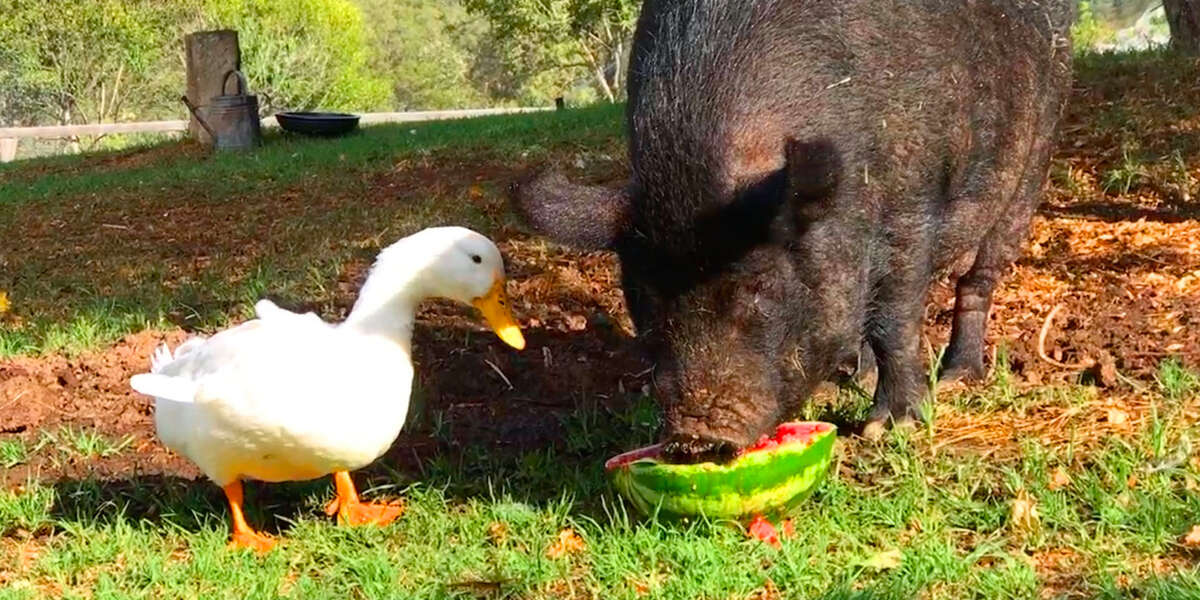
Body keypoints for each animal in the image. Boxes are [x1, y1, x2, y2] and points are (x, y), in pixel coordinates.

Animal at [513, 0, 1074, 462]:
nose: (694, 436)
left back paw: (958, 376)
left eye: (760, 285)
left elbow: (896, 316)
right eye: (643, 299)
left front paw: (890, 428)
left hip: (1032, 161)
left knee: (978, 279)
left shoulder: (912, 200)